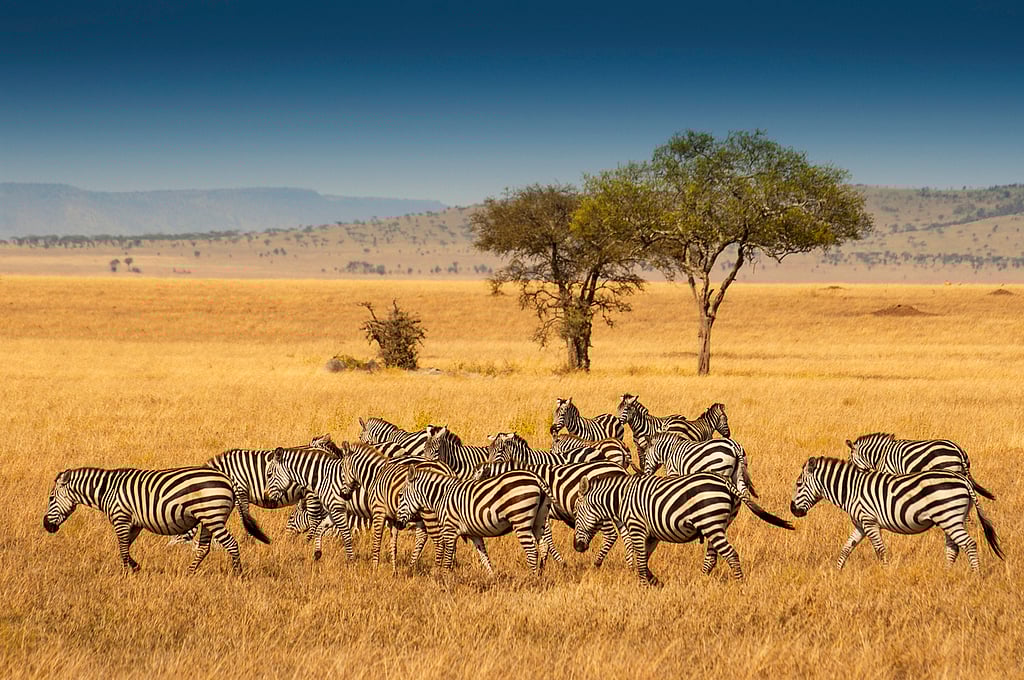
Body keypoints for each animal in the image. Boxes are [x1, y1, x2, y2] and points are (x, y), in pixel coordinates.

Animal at [44, 466, 270, 575]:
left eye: (51, 498)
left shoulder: (121, 517)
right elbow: (126, 547)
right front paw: (135, 567)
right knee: (204, 548)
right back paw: (189, 573)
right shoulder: (134, 523)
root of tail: (228, 480)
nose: (46, 526)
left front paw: (126, 572)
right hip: (208, 518)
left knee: (231, 544)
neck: (107, 490)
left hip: (212, 515)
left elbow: (122, 547)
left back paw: (237, 574)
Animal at [396, 465, 552, 576]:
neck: (441, 496)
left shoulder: (449, 530)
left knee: (532, 550)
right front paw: (492, 578)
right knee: (543, 546)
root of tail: (536, 478)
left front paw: (444, 579)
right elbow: (484, 557)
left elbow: (447, 558)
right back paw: (540, 576)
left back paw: (531, 579)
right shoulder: (474, 533)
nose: (397, 523)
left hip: (521, 520)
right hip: (539, 521)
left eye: (400, 495)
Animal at [472, 459, 629, 567]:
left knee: (611, 535)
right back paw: (630, 564)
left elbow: (547, 540)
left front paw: (558, 563)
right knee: (626, 535)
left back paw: (597, 562)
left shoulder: (544, 514)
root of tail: (620, 468)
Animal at [572, 471, 793, 585]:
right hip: (717, 524)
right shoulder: (651, 534)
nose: (577, 547)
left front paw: (643, 586)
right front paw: (654, 582)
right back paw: (701, 581)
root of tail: (724, 481)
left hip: (711, 522)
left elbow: (641, 560)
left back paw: (740, 585)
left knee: (731, 554)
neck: (621, 498)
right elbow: (643, 559)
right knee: (712, 557)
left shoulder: (637, 527)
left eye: (575, 514)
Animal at [790, 457, 1004, 572]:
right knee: (954, 547)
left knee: (969, 544)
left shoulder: (869, 521)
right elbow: (846, 548)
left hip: (949, 517)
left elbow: (879, 550)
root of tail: (962, 479)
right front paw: (837, 571)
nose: (792, 509)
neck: (851, 489)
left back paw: (975, 575)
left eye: (798, 484)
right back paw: (947, 573)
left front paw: (885, 573)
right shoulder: (860, 524)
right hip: (952, 519)